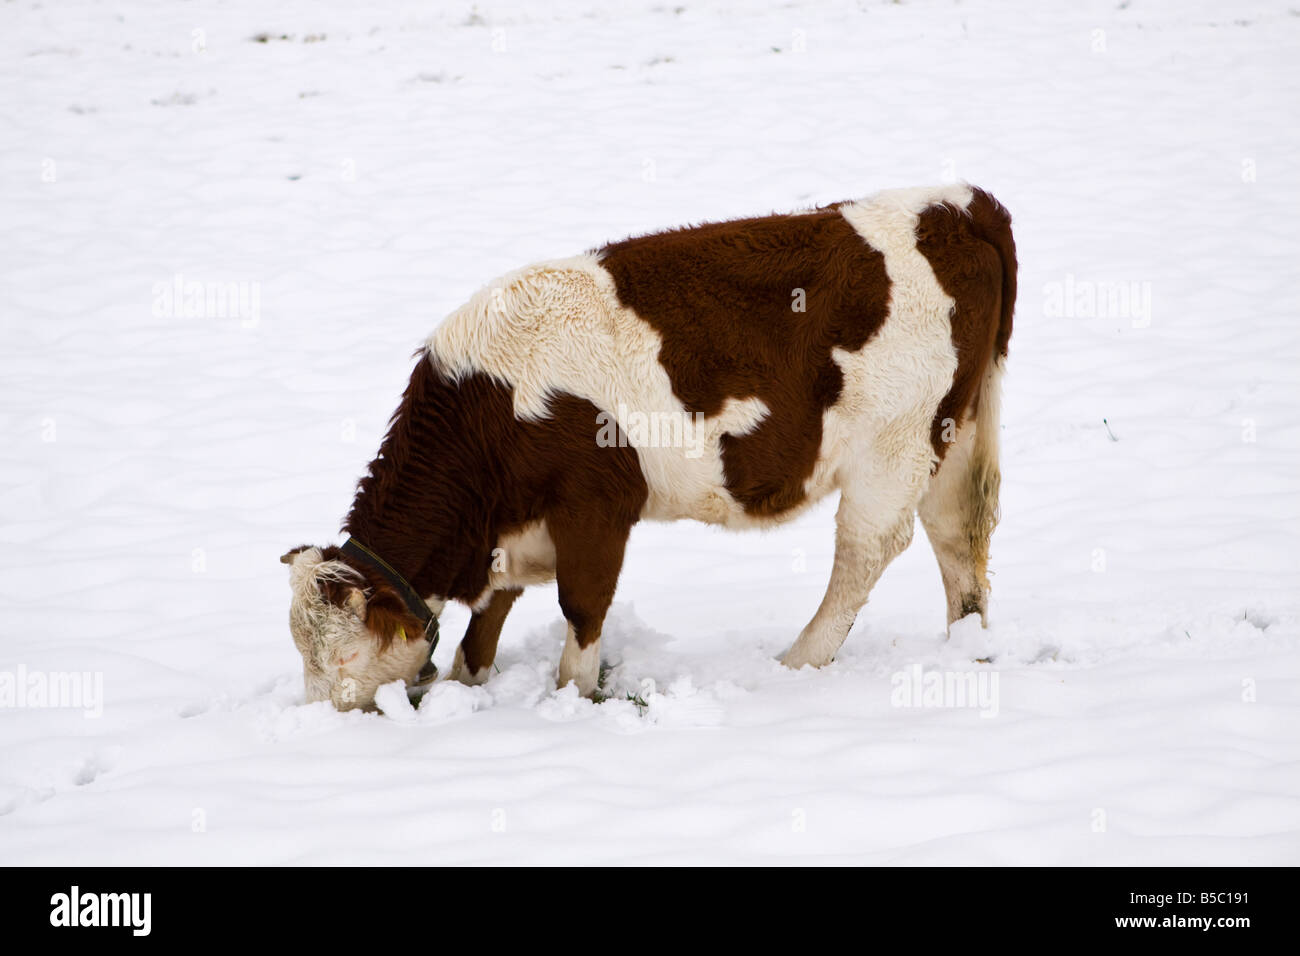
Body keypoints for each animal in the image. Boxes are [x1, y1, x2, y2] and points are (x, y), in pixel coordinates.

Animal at [281, 184, 1016, 712]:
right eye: (302, 655)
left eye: (345, 658)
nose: (325, 724)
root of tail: (960, 205)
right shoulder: (511, 528)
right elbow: (485, 624)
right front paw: (467, 687)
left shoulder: (596, 508)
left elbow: (581, 609)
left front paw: (571, 698)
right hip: (954, 430)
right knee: (957, 532)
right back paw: (969, 645)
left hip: (893, 445)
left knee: (867, 552)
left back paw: (798, 661)